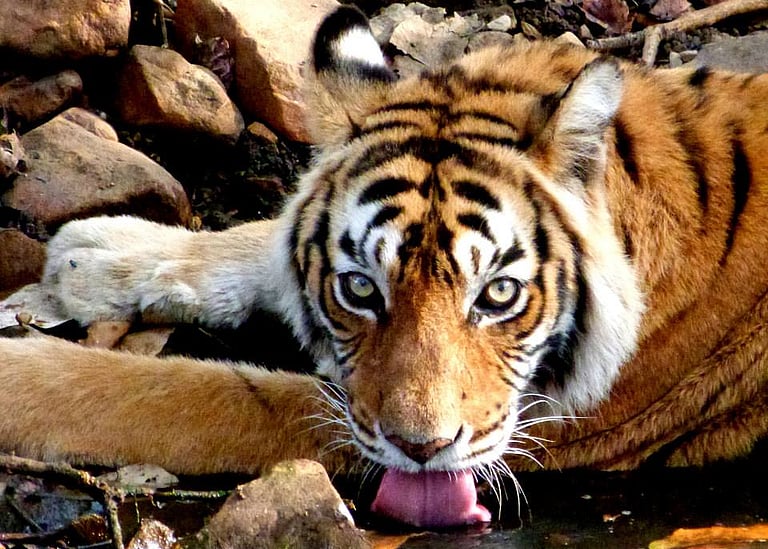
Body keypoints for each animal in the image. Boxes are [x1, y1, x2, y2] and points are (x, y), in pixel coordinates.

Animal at [1, 5, 768, 528]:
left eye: (499, 294)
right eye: (361, 288)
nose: (421, 449)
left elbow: (189, 394)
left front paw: (21, 378)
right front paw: (91, 254)